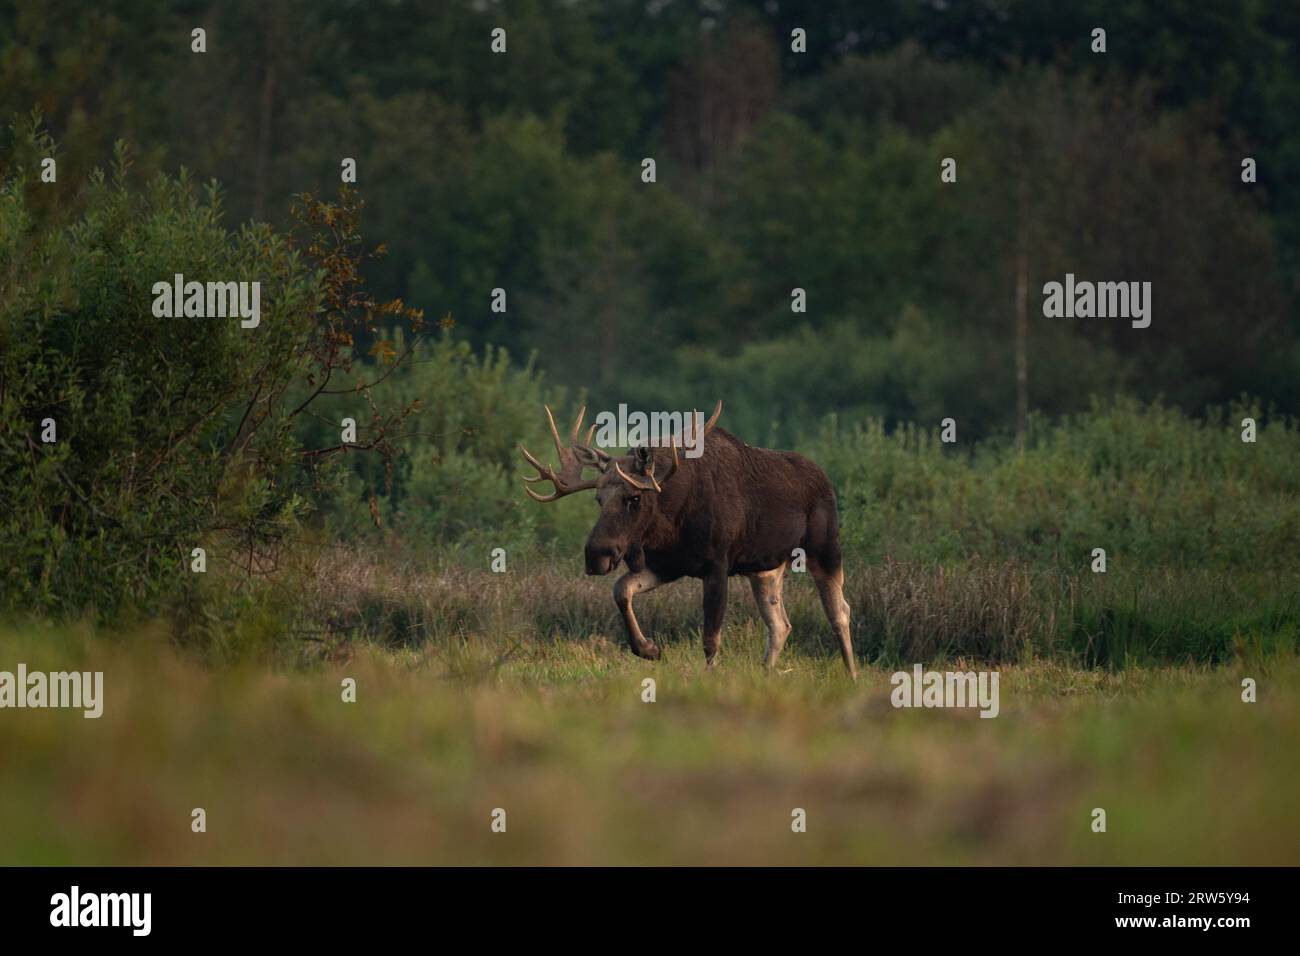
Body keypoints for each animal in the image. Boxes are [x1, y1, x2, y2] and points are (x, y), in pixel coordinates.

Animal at [519, 402, 857, 678]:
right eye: (599, 499)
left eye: (633, 498)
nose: (596, 554)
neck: (670, 521)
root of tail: (826, 478)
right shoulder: (668, 565)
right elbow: (621, 590)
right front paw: (649, 648)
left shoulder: (717, 565)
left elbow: (710, 638)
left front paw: (708, 679)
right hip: (765, 568)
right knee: (780, 624)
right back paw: (766, 675)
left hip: (825, 549)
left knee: (840, 612)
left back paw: (851, 677)